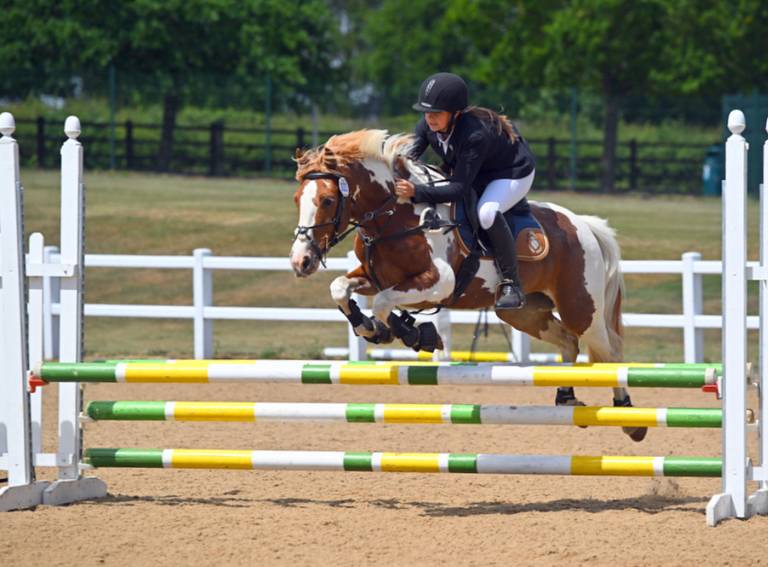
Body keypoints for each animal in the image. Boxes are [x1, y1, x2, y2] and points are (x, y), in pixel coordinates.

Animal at [289, 129, 645, 442]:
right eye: (297, 199)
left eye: (327, 200)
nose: (300, 261)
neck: (398, 216)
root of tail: (583, 224)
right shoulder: (374, 277)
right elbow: (341, 288)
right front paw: (375, 328)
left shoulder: (439, 283)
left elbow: (383, 303)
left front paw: (412, 334)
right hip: (523, 311)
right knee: (569, 342)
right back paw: (567, 398)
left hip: (580, 308)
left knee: (608, 354)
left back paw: (629, 417)